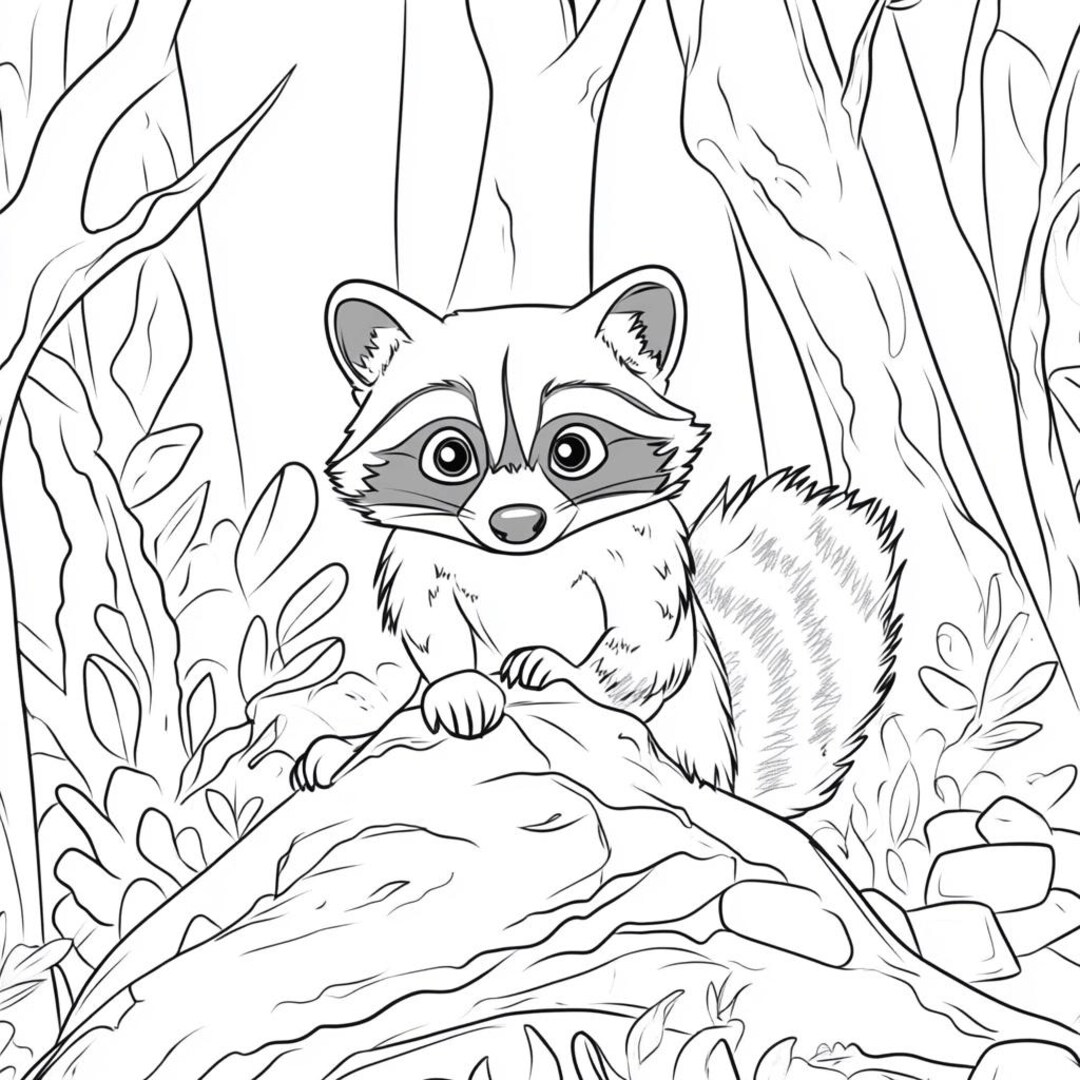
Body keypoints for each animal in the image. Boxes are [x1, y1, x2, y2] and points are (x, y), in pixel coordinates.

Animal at [291, 267, 901, 817]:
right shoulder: (422, 563)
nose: (518, 522)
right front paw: (457, 683)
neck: (520, 563)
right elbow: (434, 629)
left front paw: (564, 668)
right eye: (449, 456)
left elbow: (645, 651)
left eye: (572, 450)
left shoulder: (645, 564)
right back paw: (342, 750)